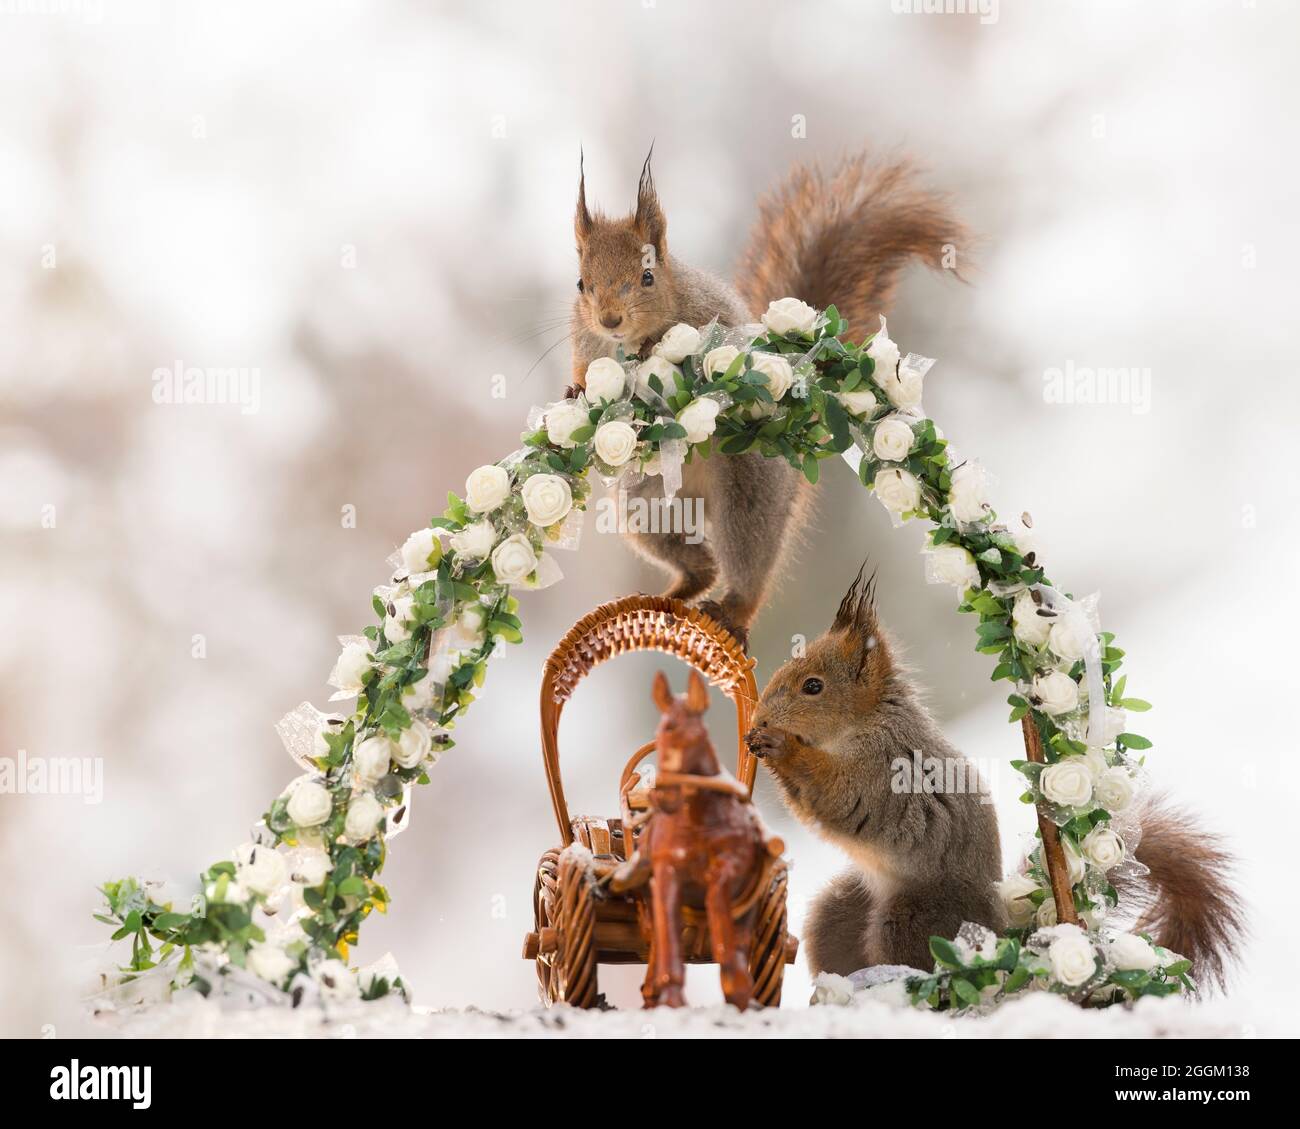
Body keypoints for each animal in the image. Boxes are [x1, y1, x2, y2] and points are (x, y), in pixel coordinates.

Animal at [569, 149, 960, 648]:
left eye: (648, 277)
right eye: (581, 284)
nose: (611, 320)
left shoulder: (710, 318)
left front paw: (656, 349)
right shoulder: (585, 344)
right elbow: (582, 369)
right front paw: (577, 389)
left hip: (750, 493)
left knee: (748, 567)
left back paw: (734, 613)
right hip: (648, 507)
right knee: (702, 566)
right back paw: (671, 595)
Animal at [744, 566, 1246, 988]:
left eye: (813, 686)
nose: (762, 715)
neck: (866, 722)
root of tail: (997, 930)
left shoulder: (879, 773)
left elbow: (835, 796)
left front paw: (779, 745)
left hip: (915, 918)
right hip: (842, 907)